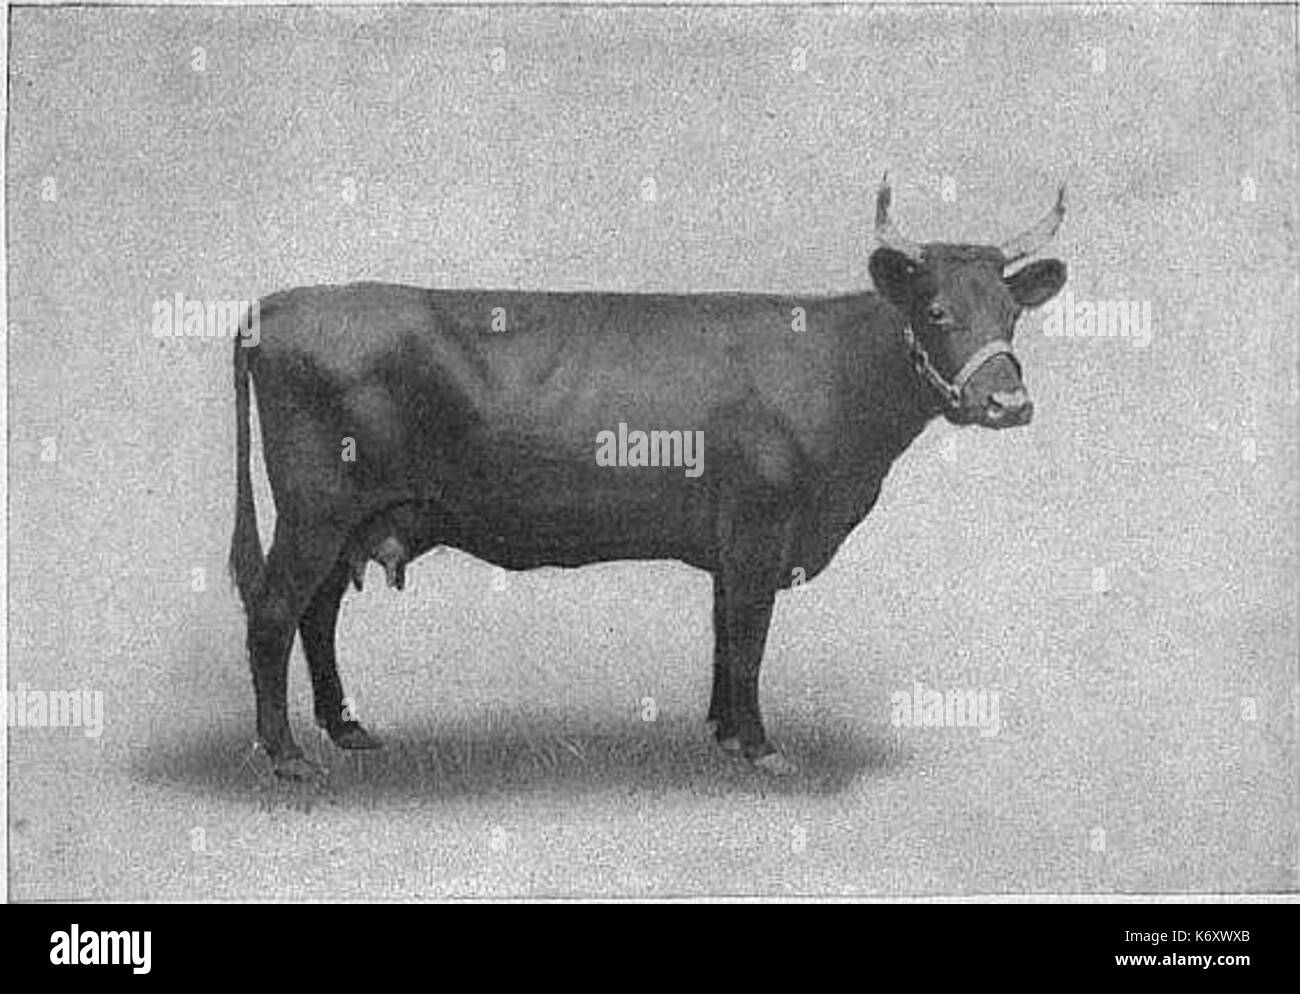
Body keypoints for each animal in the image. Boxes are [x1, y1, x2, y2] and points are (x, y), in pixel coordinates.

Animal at [229, 178, 1067, 780]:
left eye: (1011, 314)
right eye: (936, 310)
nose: (1008, 403)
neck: (832, 371)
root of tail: (276, 305)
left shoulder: (733, 540)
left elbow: (726, 634)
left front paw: (726, 734)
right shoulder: (760, 525)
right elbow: (750, 635)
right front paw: (763, 749)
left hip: (353, 518)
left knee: (318, 614)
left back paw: (346, 729)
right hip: (316, 511)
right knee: (274, 612)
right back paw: (287, 756)